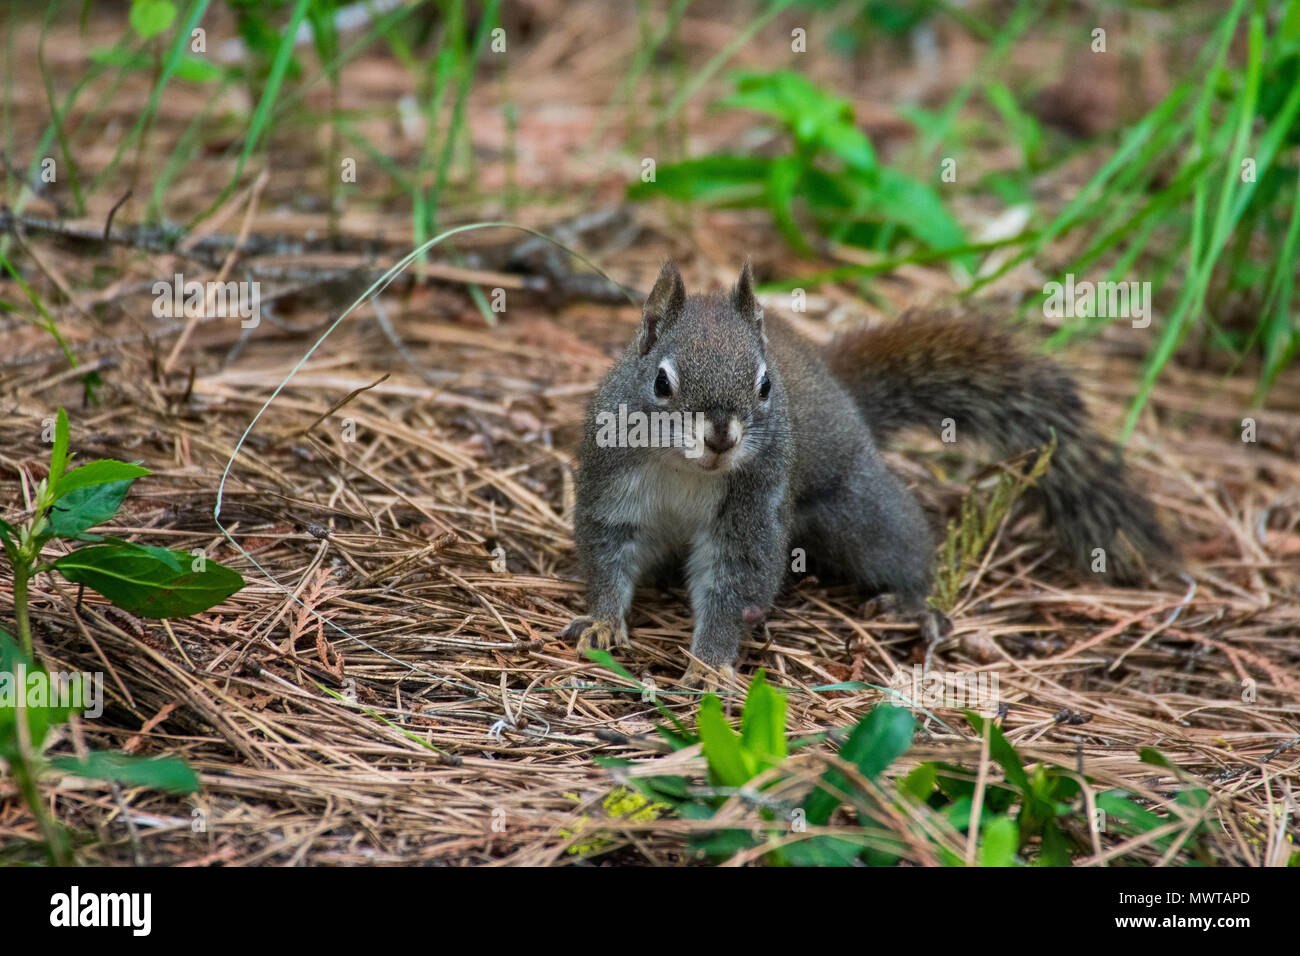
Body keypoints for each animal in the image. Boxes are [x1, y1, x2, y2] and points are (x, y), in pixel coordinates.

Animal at [563, 260, 1173, 683]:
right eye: (661, 383)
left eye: (765, 386)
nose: (720, 437)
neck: (686, 468)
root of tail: (844, 396)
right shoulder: (612, 487)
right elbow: (607, 554)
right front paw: (602, 621)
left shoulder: (755, 504)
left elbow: (736, 580)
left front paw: (710, 663)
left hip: (859, 512)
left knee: (902, 545)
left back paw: (912, 603)